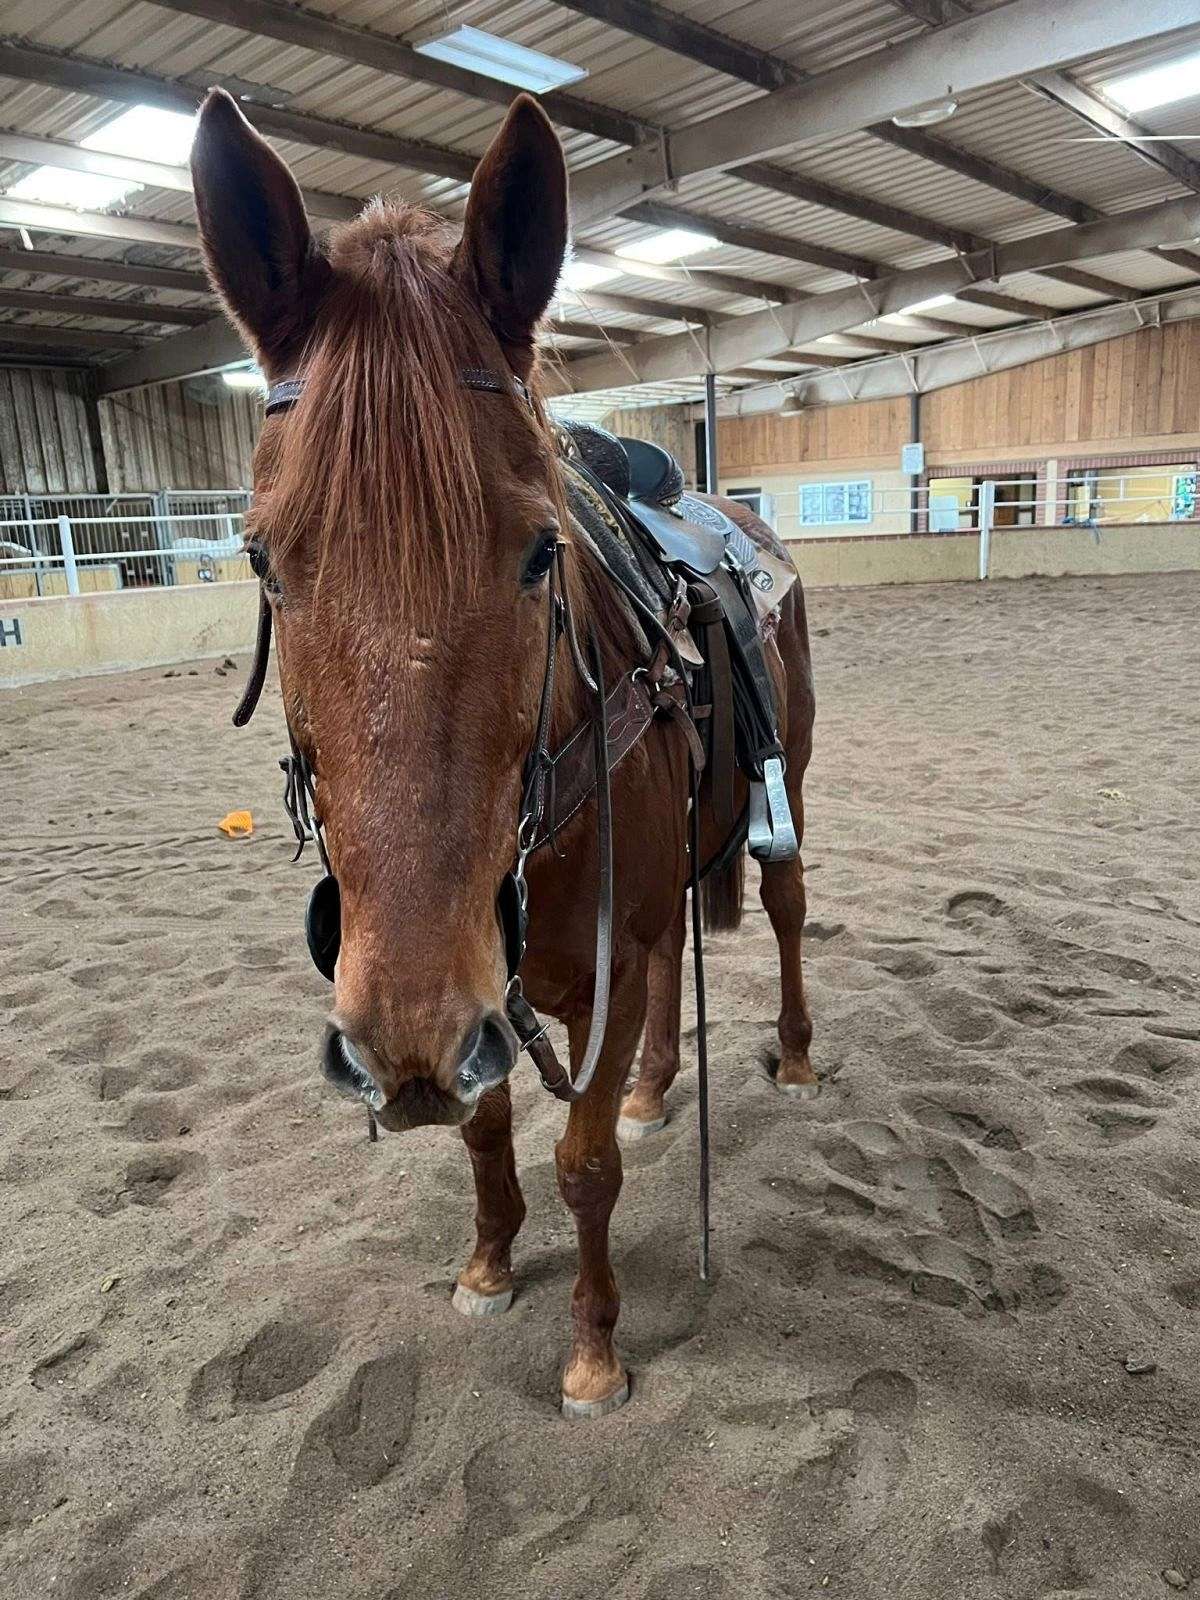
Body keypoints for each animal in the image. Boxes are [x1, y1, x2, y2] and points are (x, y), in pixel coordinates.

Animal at [190, 86, 817, 1419]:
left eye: (539, 550)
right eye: (263, 557)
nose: (406, 1034)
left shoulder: (589, 972)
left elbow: (583, 1159)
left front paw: (594, 1349)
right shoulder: (501, 983)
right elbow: (485, 1126)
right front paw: (486, 1262)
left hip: (787, 788)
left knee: (787, 906)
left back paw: (792, 1058)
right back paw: (655, 1086)